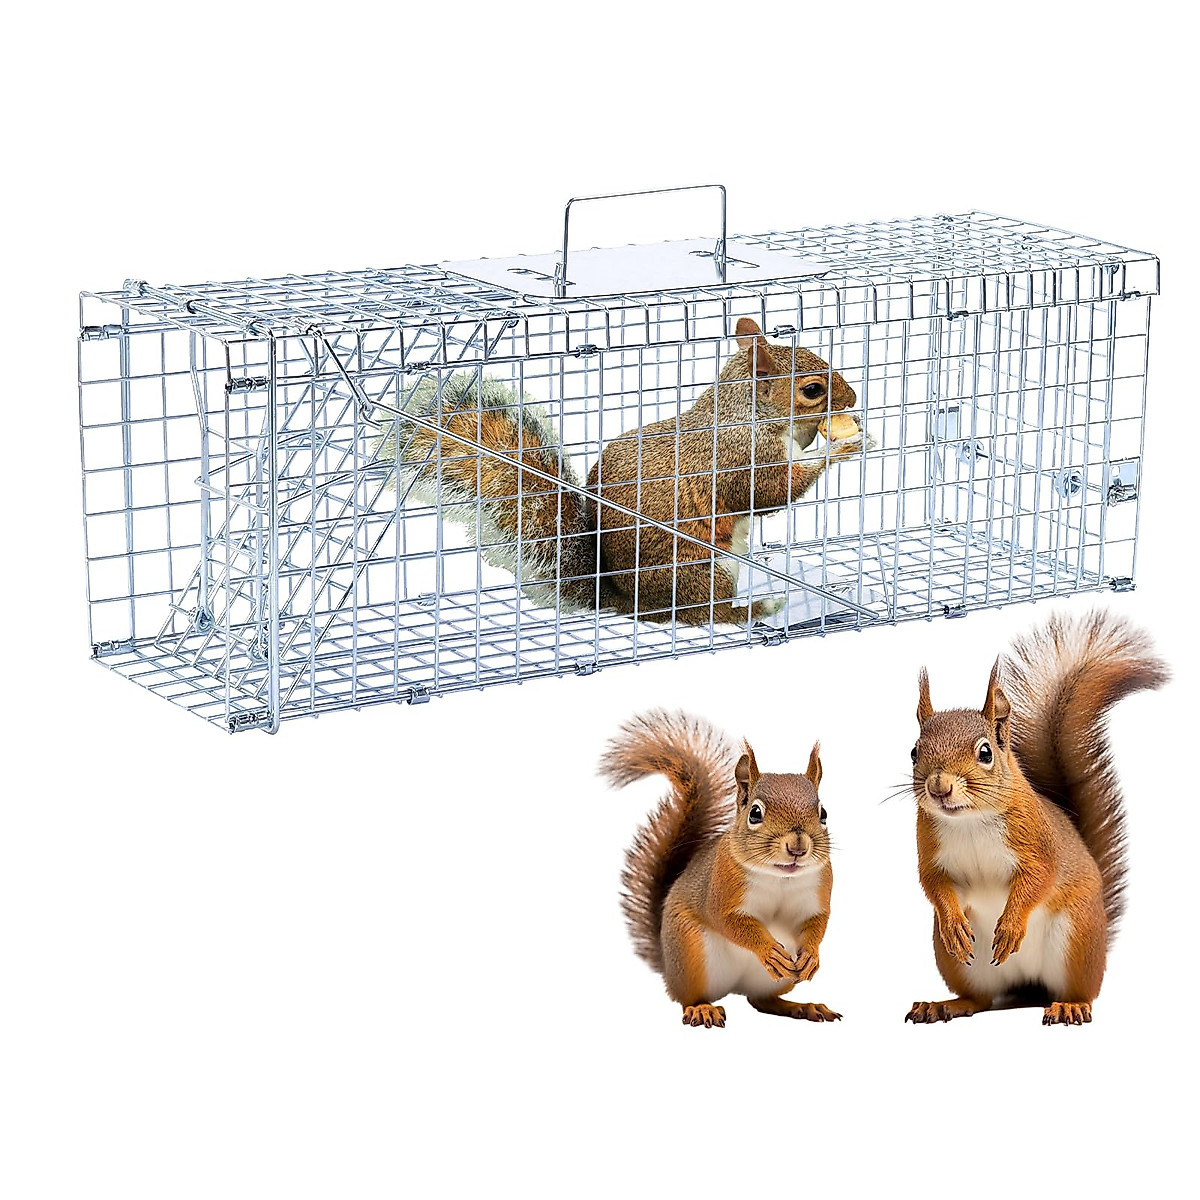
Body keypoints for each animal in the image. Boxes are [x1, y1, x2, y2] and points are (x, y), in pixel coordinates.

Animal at [376, 318, 865, 625]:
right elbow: (768, 493)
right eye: (813, 390)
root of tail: (632, 605)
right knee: (704, 617)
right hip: (706, 569)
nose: (855, 398)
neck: (744, 414)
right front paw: (841, 447)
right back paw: (756, 611)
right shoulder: (738, 458)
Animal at [599, 710, 841, 1028]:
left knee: (761, 1000)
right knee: (688, 998)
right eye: (755, 813)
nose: (798, 847)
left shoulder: (819, 890)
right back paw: (702, 1008)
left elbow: (817, 922)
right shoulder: (721, 887)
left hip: (775, 980)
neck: (780, 877)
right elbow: (727, 920)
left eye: (823, 813)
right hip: (690, 953)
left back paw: (802, 1006)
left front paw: (812, 956)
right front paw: (768, 950)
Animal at [905, 609, 1167, 1026]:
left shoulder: (1037, 842)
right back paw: (946, 1004)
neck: (970, 820)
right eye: (914, 752)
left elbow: (1039, 878)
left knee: (1081, 991)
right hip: (958, 963)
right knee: (980, 999)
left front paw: (1012, 925)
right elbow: (933, 883)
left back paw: (1070, 1005)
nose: (939, 787)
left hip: (1076, 940)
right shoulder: (929, 846)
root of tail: (1027, 985)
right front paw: (953, 922)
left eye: (985, 752)